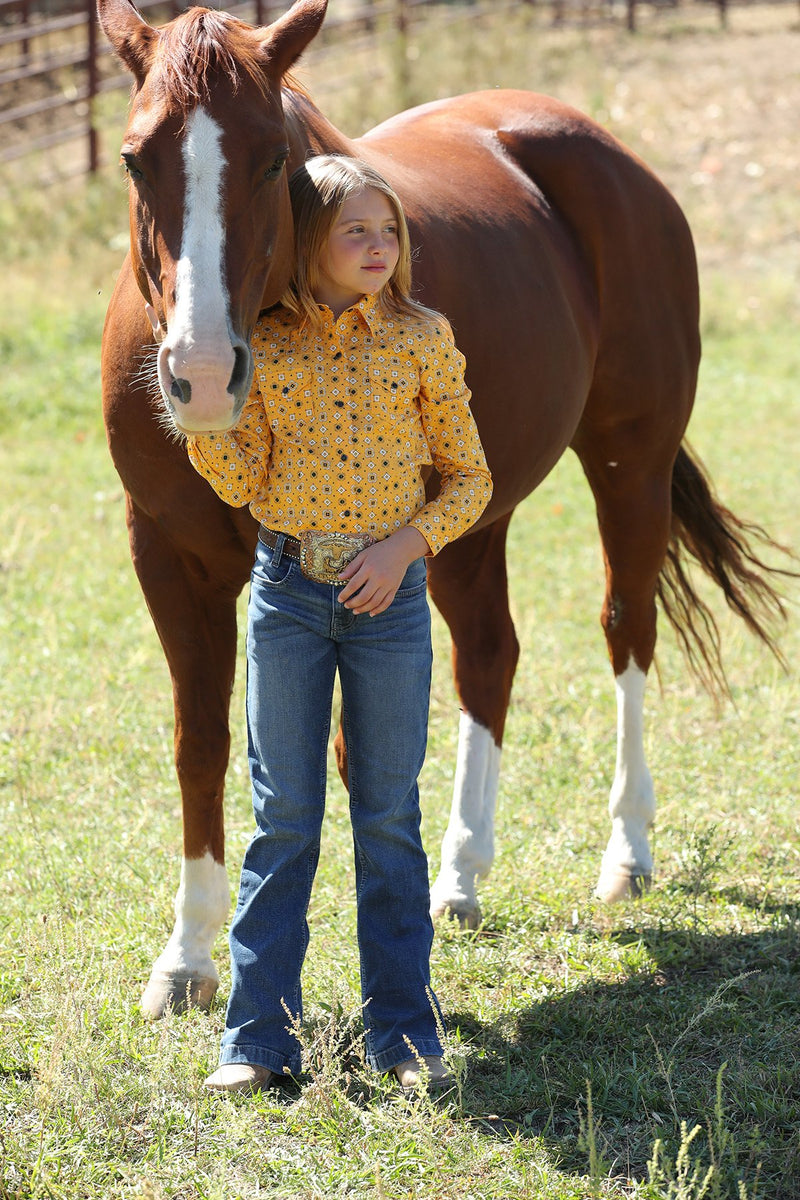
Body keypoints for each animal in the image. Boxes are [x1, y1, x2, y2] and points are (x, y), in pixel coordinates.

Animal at [97, 0, 790, 1018]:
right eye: (135, 158)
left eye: (270, 159)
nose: (204, 374)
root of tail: (604, 153)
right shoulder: (171, 559)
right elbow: (204, 745)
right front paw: (187, 960)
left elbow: (358, 756)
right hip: (473, 524)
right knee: (490, 657)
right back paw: (460, 874)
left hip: (629, 462)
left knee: (627, 628)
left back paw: (626, 852)